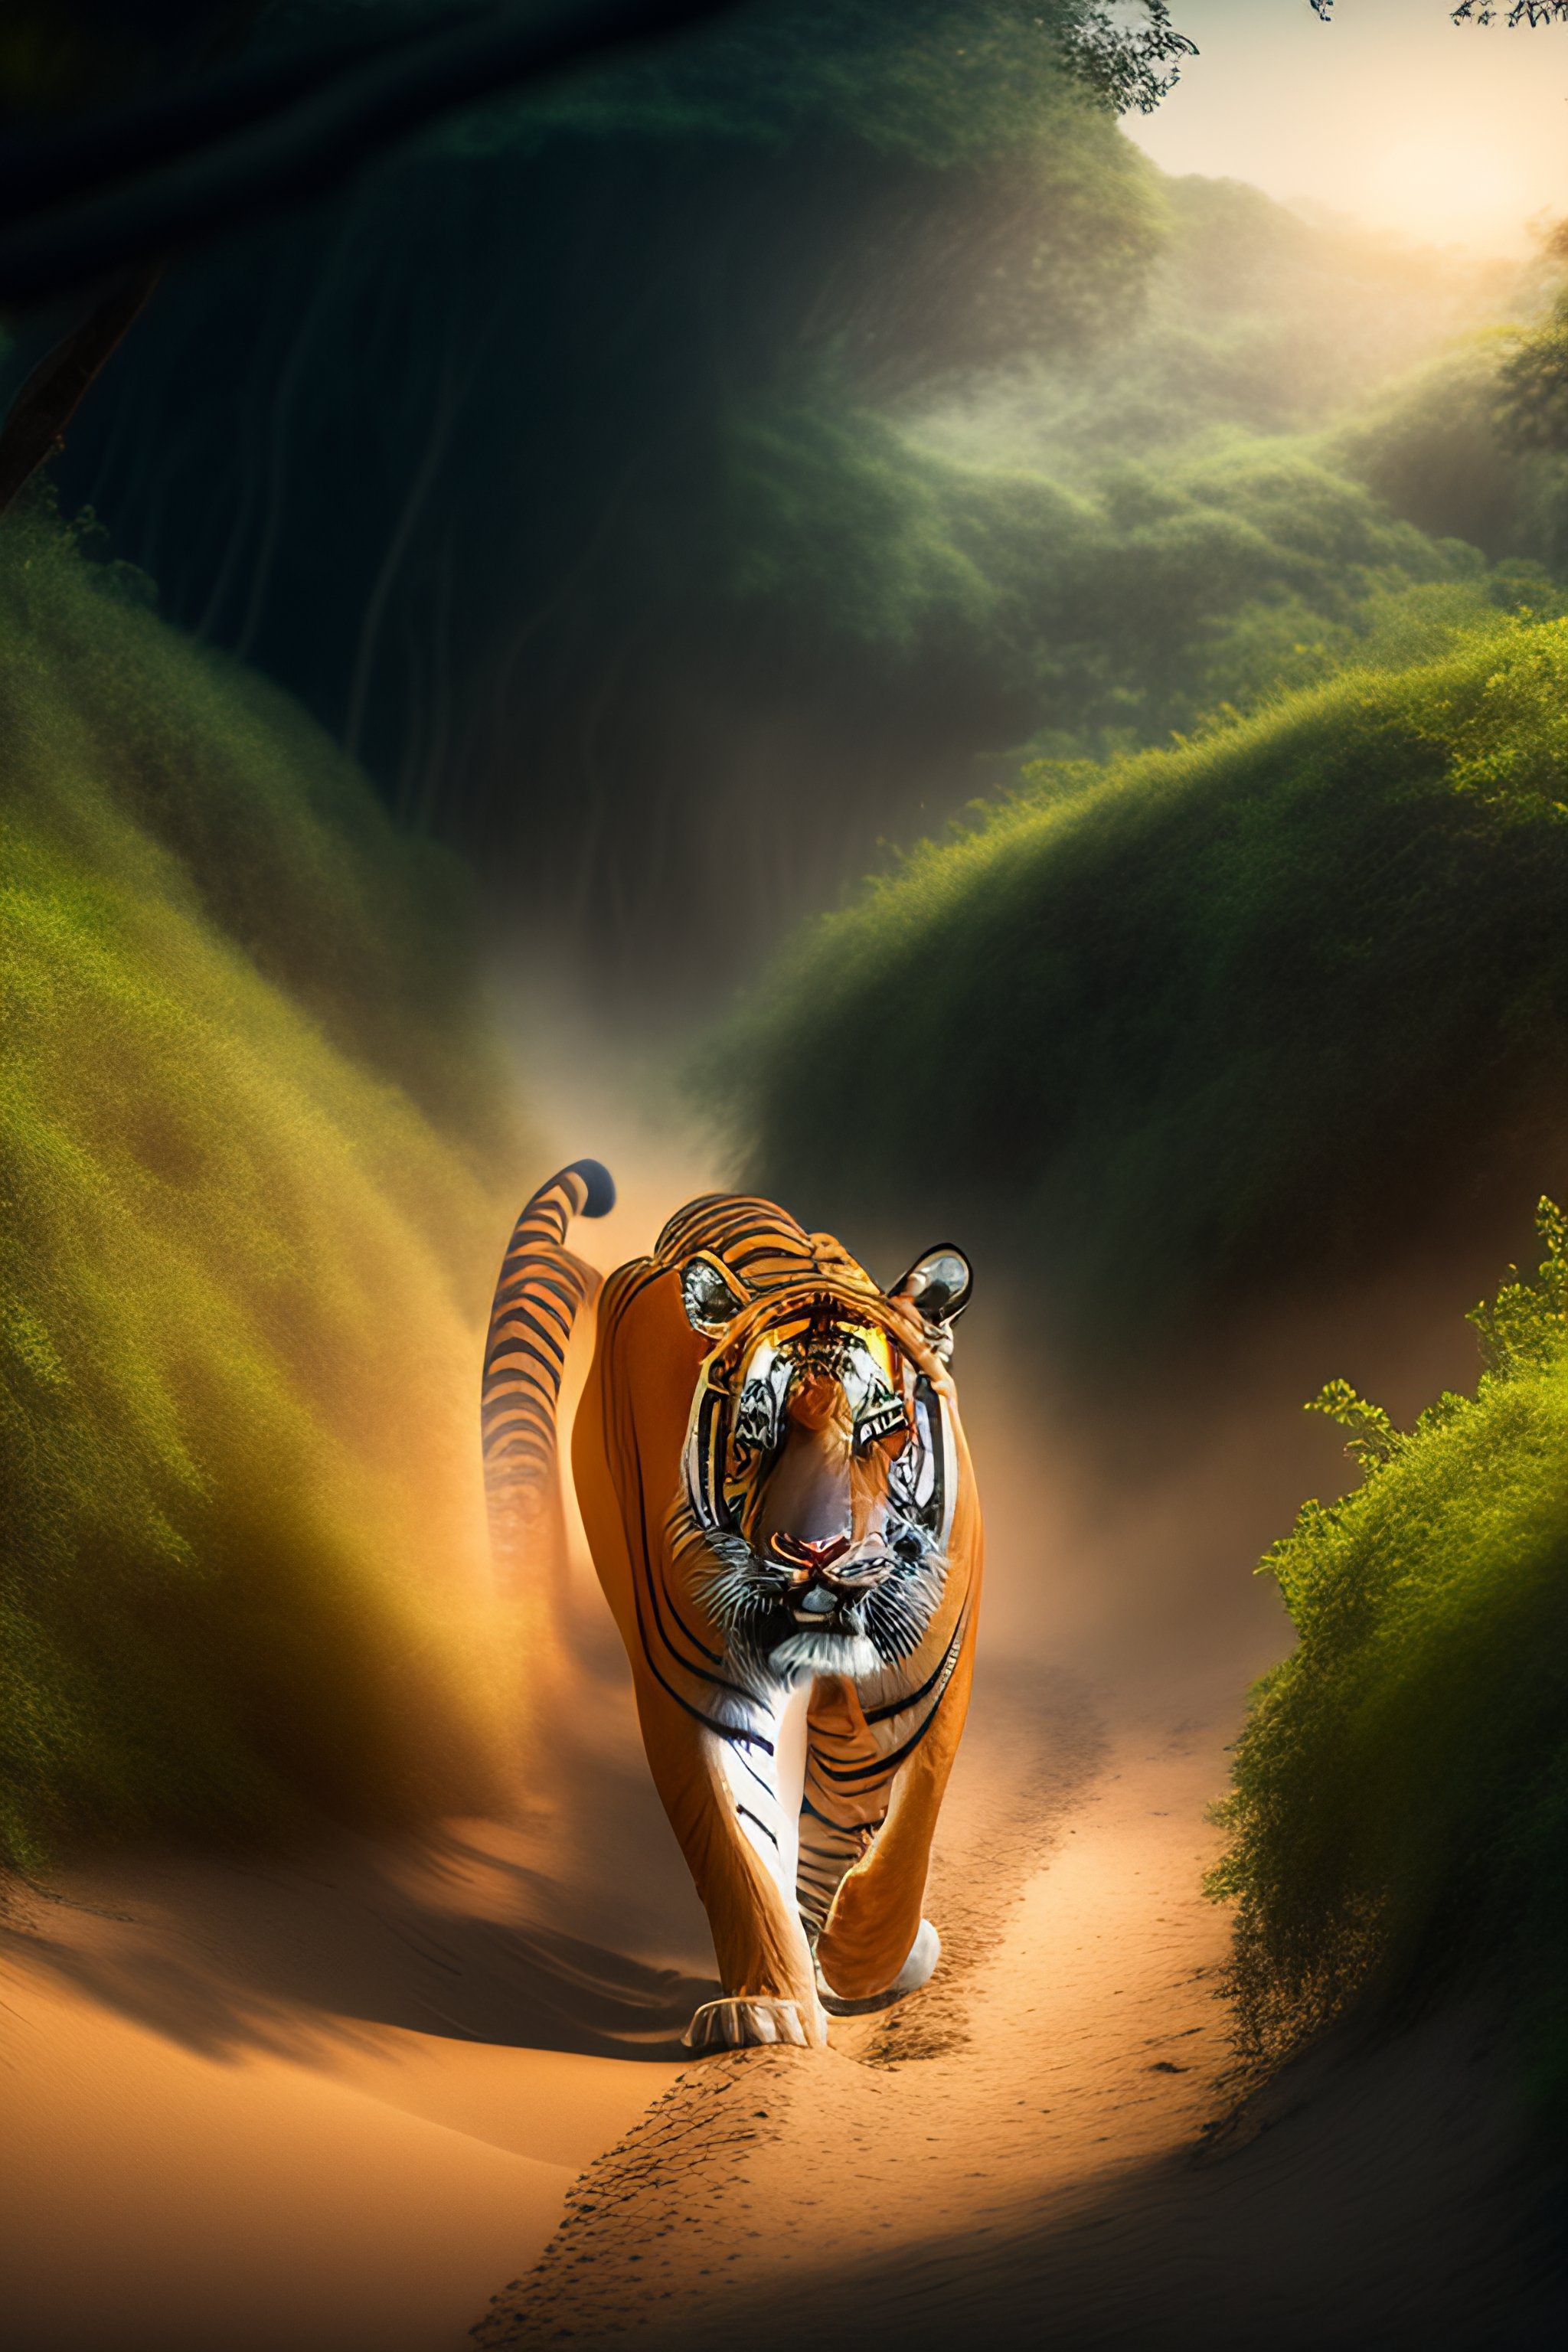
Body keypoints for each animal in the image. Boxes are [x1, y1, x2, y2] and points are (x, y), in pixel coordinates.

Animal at [481, 1159, 982, 2050]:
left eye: (881, 1427)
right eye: (756, 1433)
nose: (813, 1553)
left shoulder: (927, 1675)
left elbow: (906, 1820)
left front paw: (857, 1955)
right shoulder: (696, 1684)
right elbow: (734, 1841)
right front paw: (770, 2006)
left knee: (846, 1792)